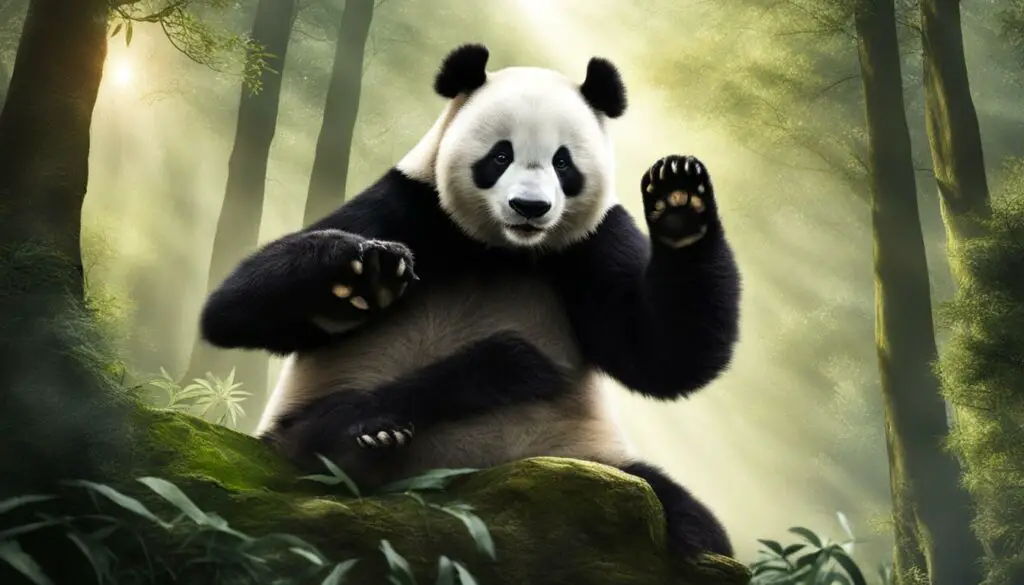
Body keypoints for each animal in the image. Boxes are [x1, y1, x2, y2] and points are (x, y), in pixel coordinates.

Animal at [199, 43, 741, 559]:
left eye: (562, 161)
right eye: (500, 156)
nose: (530, 208)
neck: (500, 250)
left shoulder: (591, 240)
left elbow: (662, 354)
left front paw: (679, 201)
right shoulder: (412, 205)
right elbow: (235, 307)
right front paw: (364, 275)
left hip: (589, 457)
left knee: (678, 513)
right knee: (313, 435)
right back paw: (361, 437)